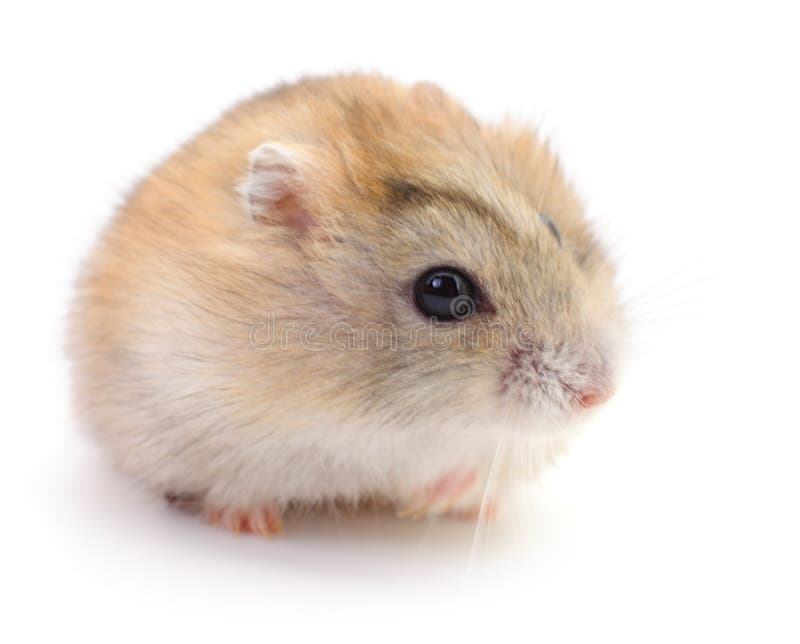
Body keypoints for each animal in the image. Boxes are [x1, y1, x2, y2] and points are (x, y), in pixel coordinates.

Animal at [69, 74, 623, 536]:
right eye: (442, 291)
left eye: (552, 227)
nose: (600, 396)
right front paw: (253, 524)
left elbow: (477, 464)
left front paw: (431, 502)